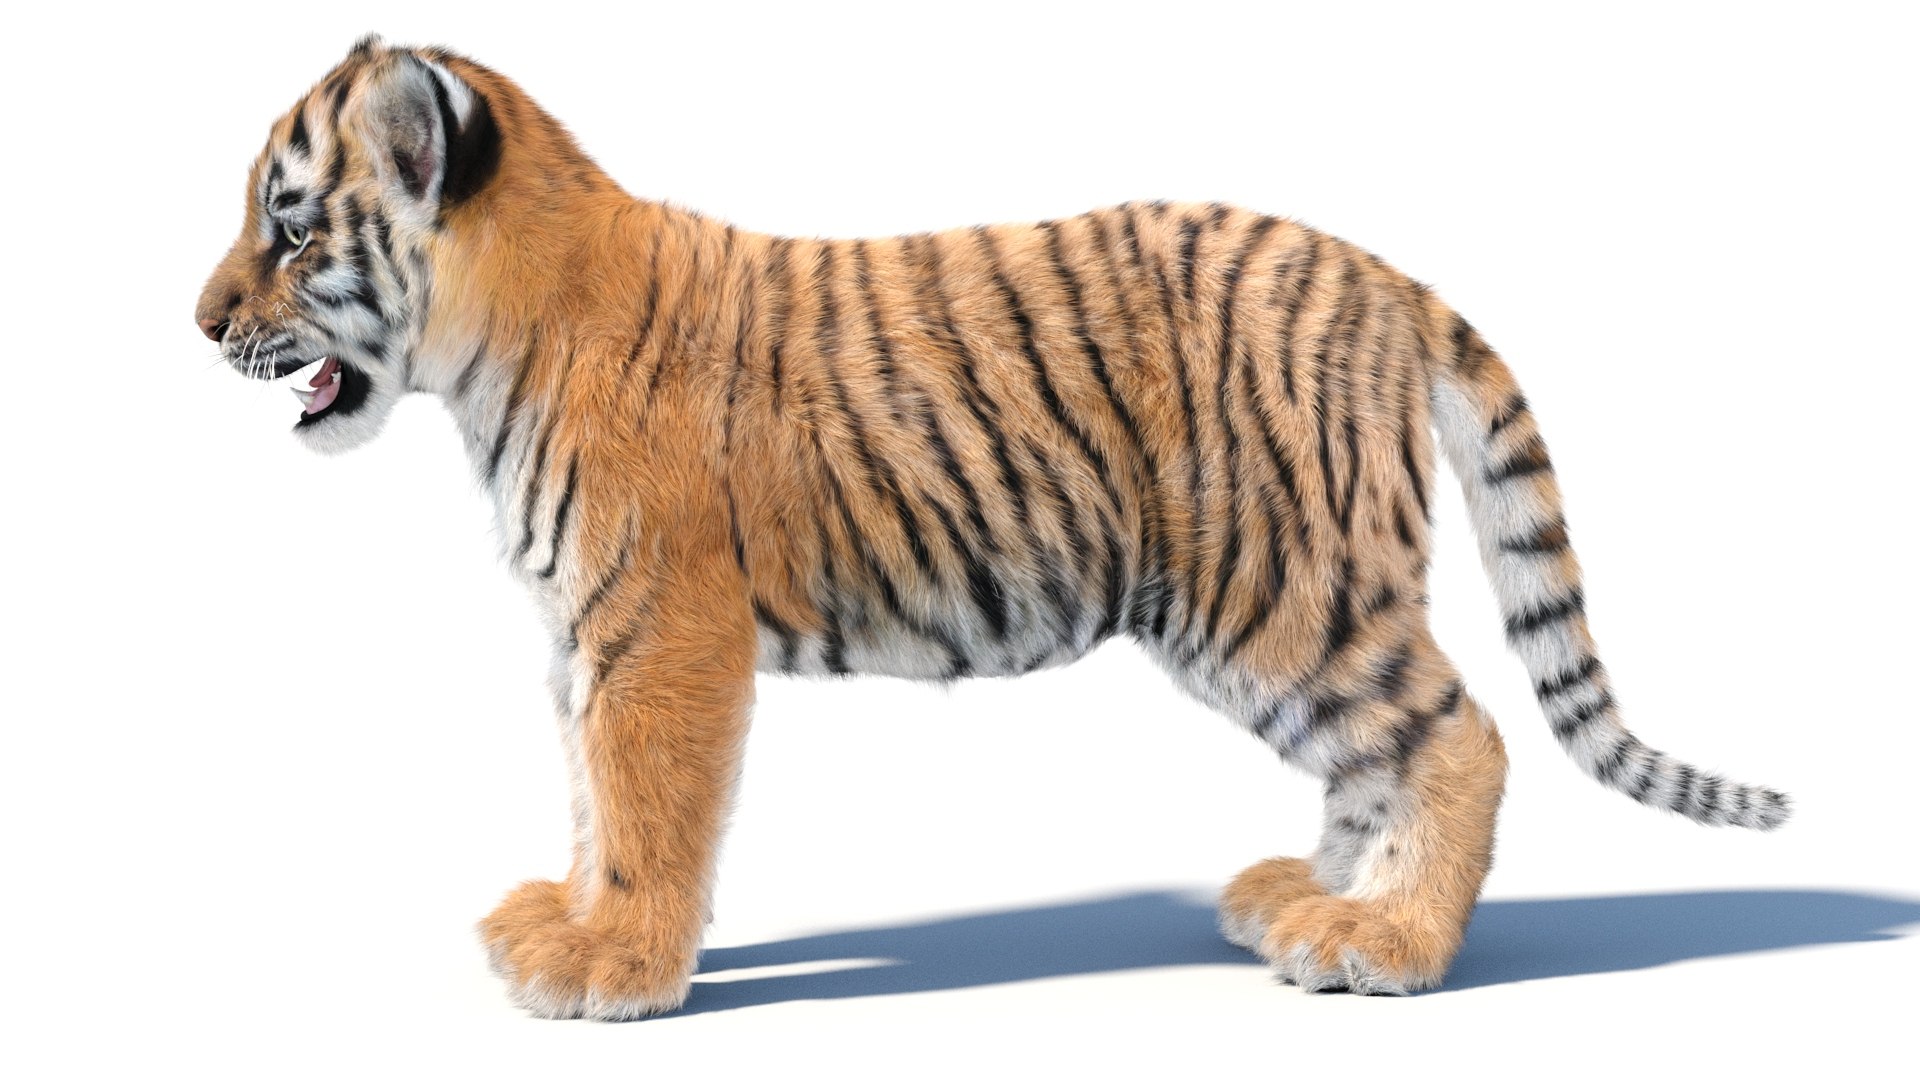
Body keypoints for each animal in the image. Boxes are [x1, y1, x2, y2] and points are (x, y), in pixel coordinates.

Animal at [197, 37, 1790, 1018]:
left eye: (289, 228)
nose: (201, 322)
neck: (486, 344)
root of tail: (1383, 279)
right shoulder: (587, 634)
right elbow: (592, 797)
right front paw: (570, 921)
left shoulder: (660, 630)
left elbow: (645, 805)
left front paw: (617, 968)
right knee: (1381, 751)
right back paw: (1307, 898)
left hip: (1277, 583)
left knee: (1457, 736)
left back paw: (1388, 943)